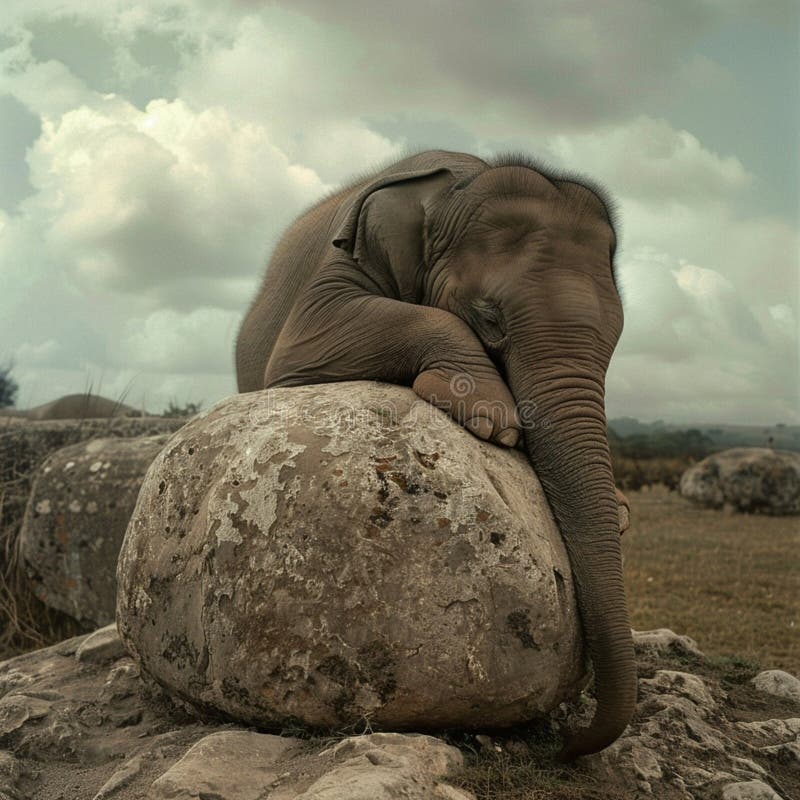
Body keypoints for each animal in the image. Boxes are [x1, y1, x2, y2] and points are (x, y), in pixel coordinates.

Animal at [236, 149, 634, 759]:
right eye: (489, 318)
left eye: (618, 335)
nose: (564, 742)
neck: (455, 187)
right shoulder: (338, 263)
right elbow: (304, 343)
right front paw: (493, 420)